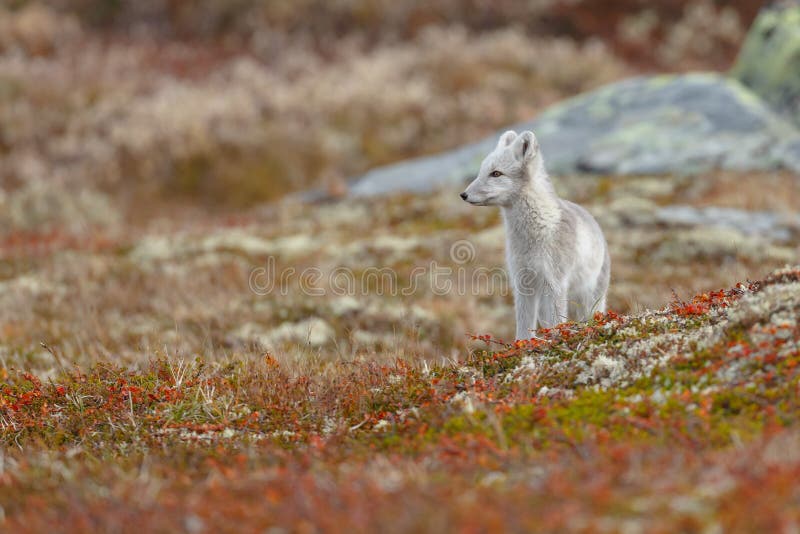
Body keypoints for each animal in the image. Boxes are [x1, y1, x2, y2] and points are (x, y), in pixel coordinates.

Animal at [461, 130, 610, 340]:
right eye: (481, 171)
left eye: (496, 173)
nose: (463, 194)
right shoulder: (522, 281)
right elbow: (524, 322)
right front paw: (522, 343)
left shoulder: (554, 282)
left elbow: (556, 321)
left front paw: (555, 339)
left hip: (590, 296)